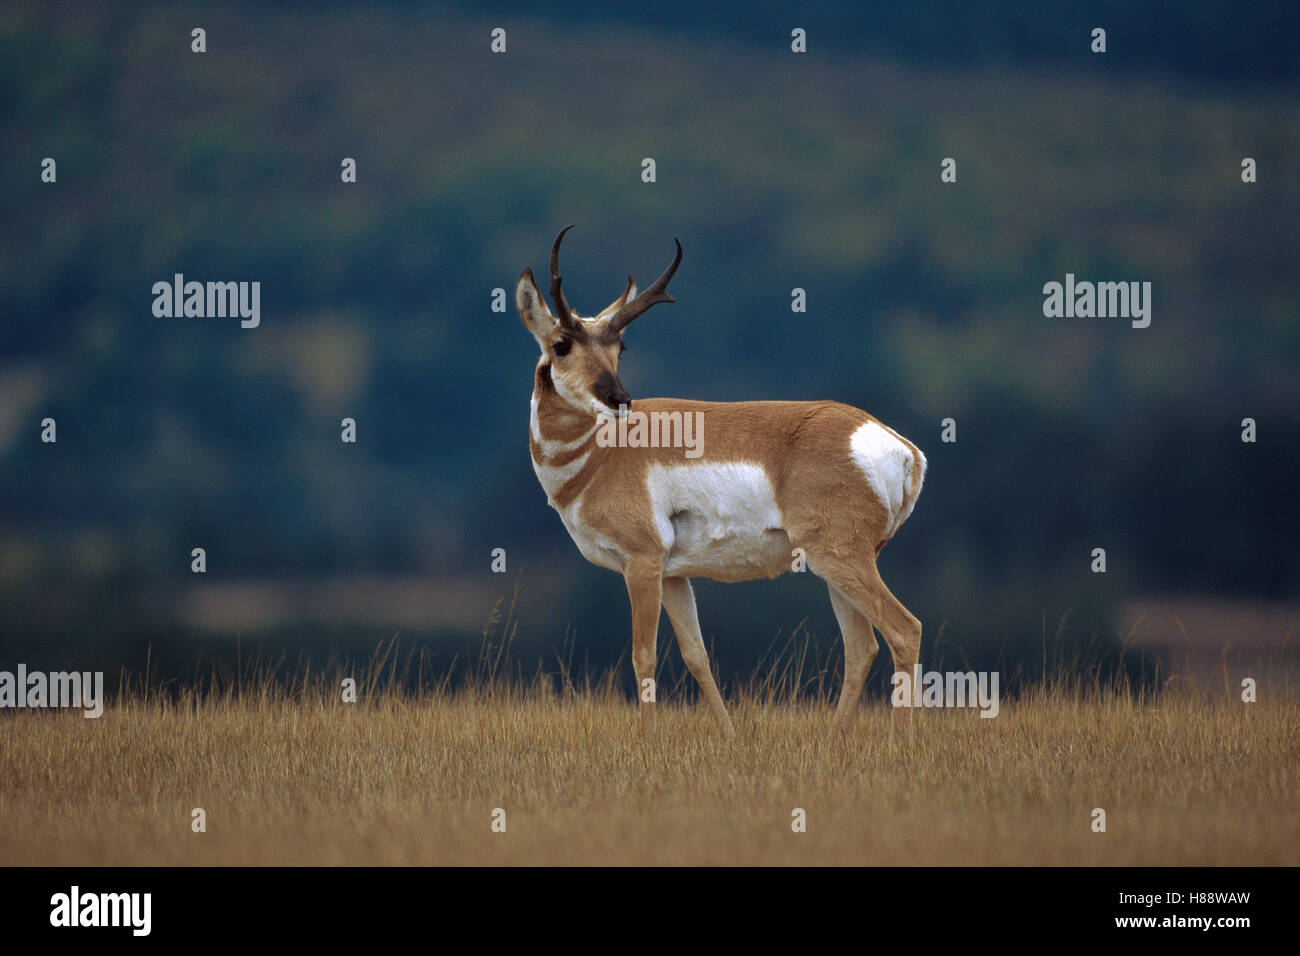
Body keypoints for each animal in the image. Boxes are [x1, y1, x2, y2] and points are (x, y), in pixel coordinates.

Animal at [517, 226, 926, 738]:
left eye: (619, 347)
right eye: (561, 344)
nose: (620, 400)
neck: (601, 453)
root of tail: (899, 446)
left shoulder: (641, 564)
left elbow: (643, 656)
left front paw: (647, 742)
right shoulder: (674, 574)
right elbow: (696, 655)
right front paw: (729, 736)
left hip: (841, 558)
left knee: (903, 630)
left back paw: (900, 740)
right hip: (839, 565)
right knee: (862, 647)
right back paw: (833, 741)